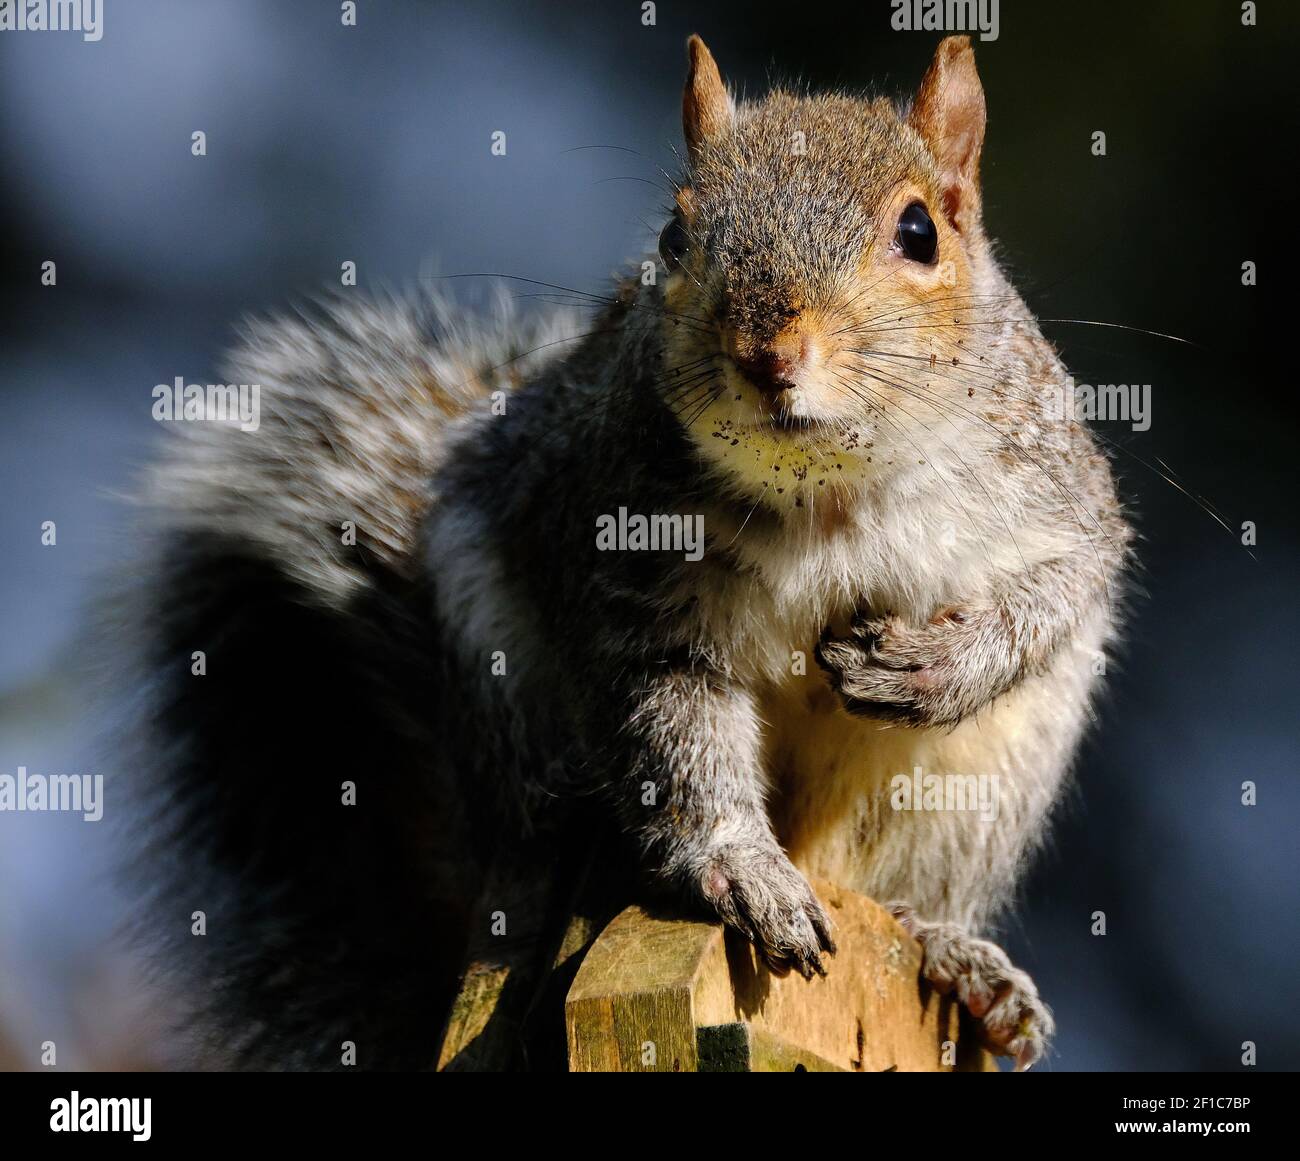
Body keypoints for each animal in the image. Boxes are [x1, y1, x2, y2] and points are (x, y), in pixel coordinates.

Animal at [116, 35, 1129, 1071]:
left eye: (920, 232)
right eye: (674, 238)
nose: (767, 352)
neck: (827, 493)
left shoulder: (1051, 487)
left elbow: (1064, 583)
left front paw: (935, 665)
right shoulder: (632, 574)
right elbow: (677, 725)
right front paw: (743, 868)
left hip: (983, 787)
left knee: (915, 894)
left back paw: (959, 957)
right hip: (498, 677)